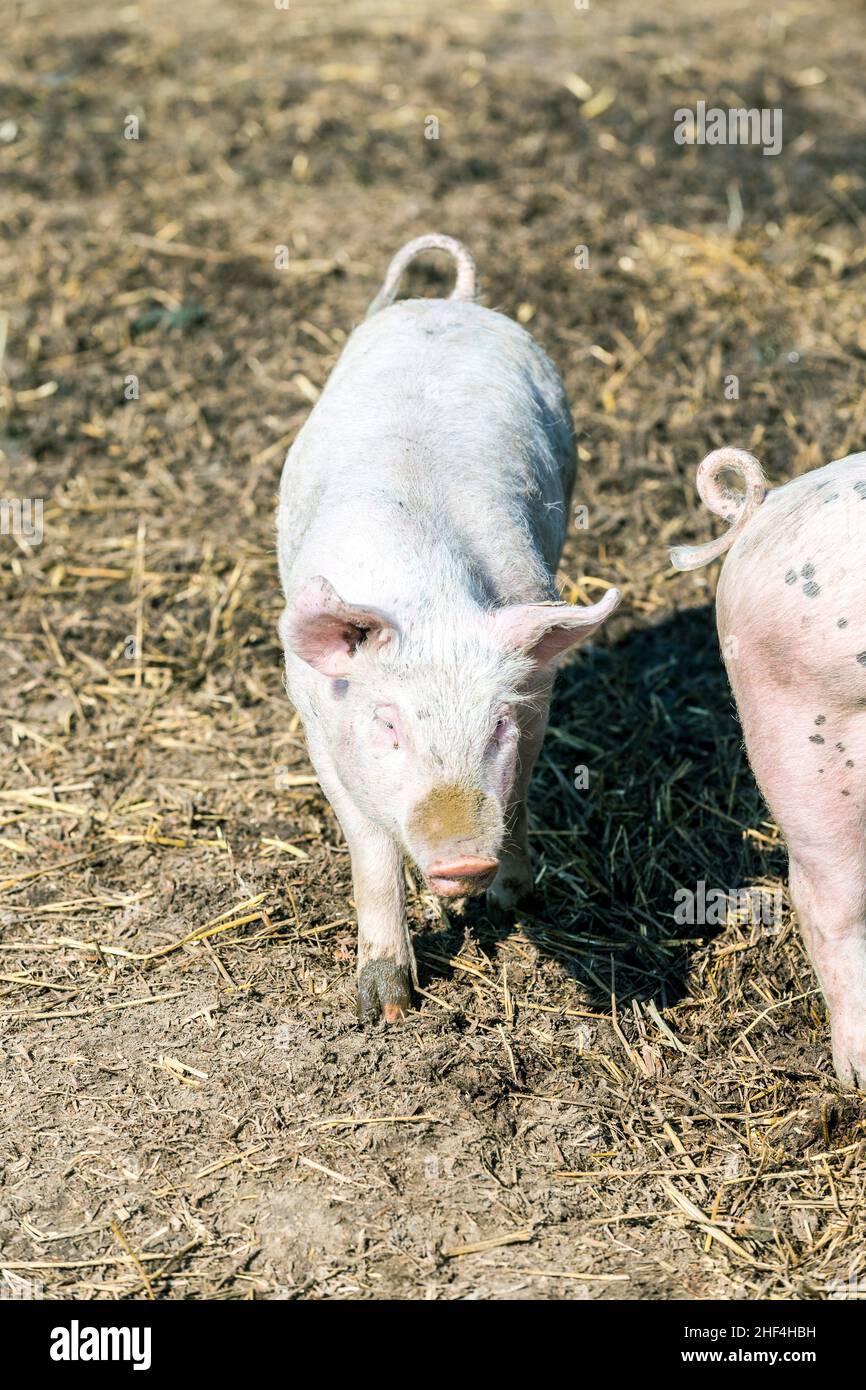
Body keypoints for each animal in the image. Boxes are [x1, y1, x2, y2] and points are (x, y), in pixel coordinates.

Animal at [276, 233, 621, 1023]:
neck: (428, 596)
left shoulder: (536, 698)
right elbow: (371, 853)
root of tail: (452, 301)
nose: (463, 854)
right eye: (388, 725)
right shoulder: (321, 733)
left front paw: (510, 903)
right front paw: (387, 1007)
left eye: (494, 724)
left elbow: (519, 796)